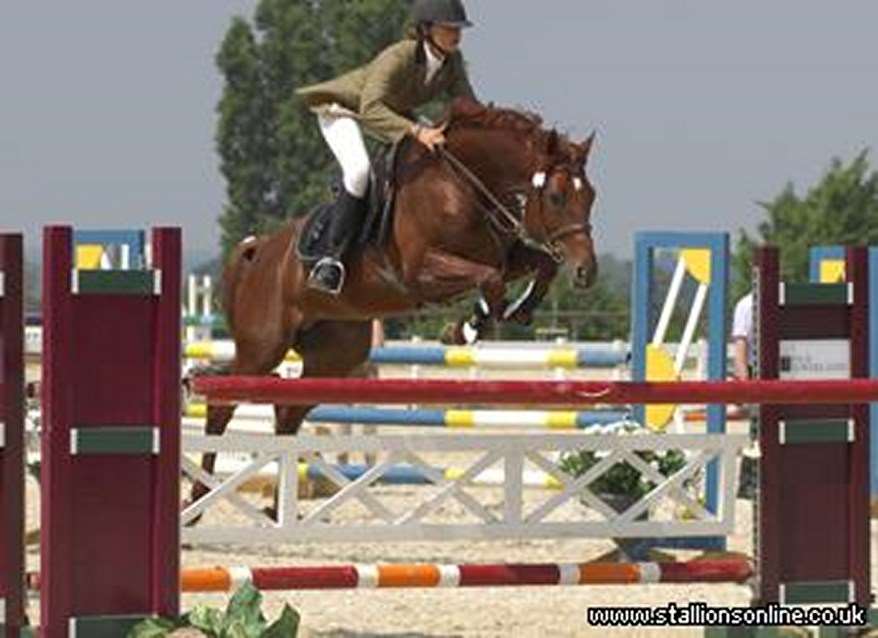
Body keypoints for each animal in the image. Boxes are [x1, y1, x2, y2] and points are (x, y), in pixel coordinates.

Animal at [191, 97, 598, 512]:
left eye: (591, 196)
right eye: (556, 197)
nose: (587, 271)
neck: (462, 185)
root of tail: (257, 251)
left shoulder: (505, 254)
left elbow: (538, 266)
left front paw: (510, 312)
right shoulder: (419, 271)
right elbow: (491, 279)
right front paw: (467, 327)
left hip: (334, 357)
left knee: (288, 412)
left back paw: (276, 508)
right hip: (264, 347)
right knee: (223, 403)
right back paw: (197, 502)